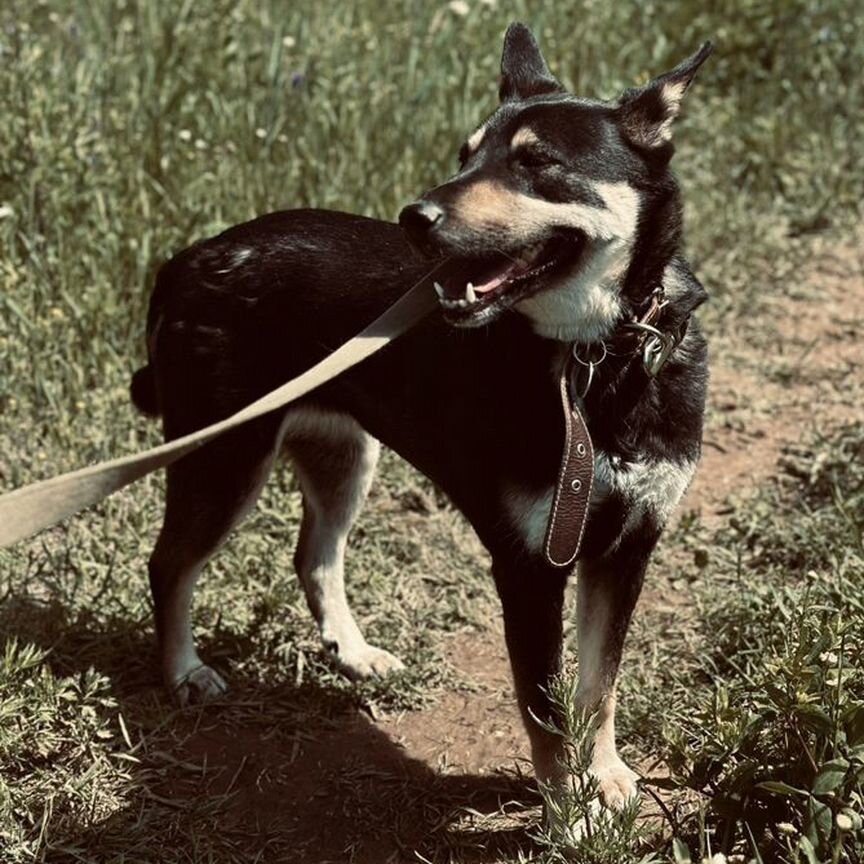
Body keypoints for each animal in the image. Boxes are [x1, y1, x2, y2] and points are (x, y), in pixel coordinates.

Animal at [128, 25, 708, 808]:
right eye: (465, 156)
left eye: (535, 162)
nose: (415, 217)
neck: (592, 361)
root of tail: (188, 258)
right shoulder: (529, 564)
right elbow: (544, 707)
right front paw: (567, 808)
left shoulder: (626, 547)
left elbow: (600, 684)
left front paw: (608, 774)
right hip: (224, 458)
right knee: (170, 563)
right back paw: (184, 672)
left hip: (342, 458)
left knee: (313, 555)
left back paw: (353, 652)